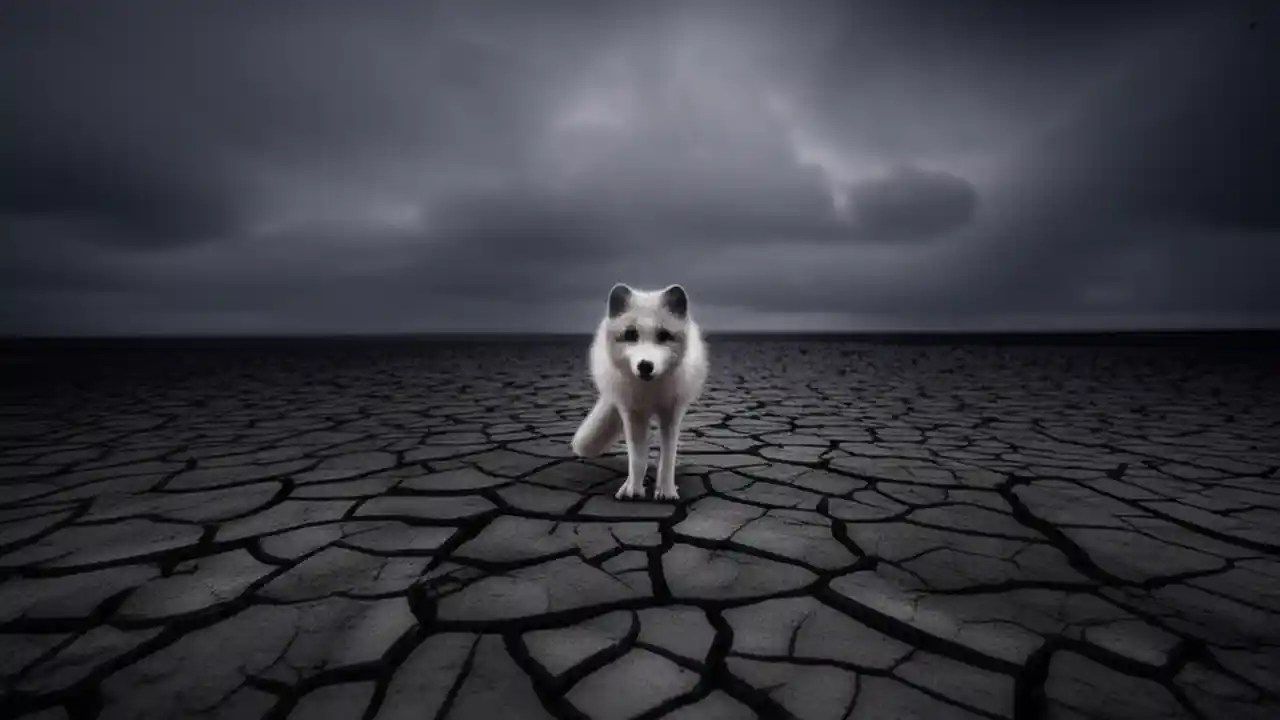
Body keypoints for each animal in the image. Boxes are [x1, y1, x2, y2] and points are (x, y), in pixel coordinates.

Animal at [571, 283, 708, 501]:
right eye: (630, 335)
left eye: (663, 336)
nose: (645, 365)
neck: (649, 392)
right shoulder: (631, 412)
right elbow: (637, 458)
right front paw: (633, 490)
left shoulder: (672, 413)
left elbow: (668, 457)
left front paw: (666, 491)